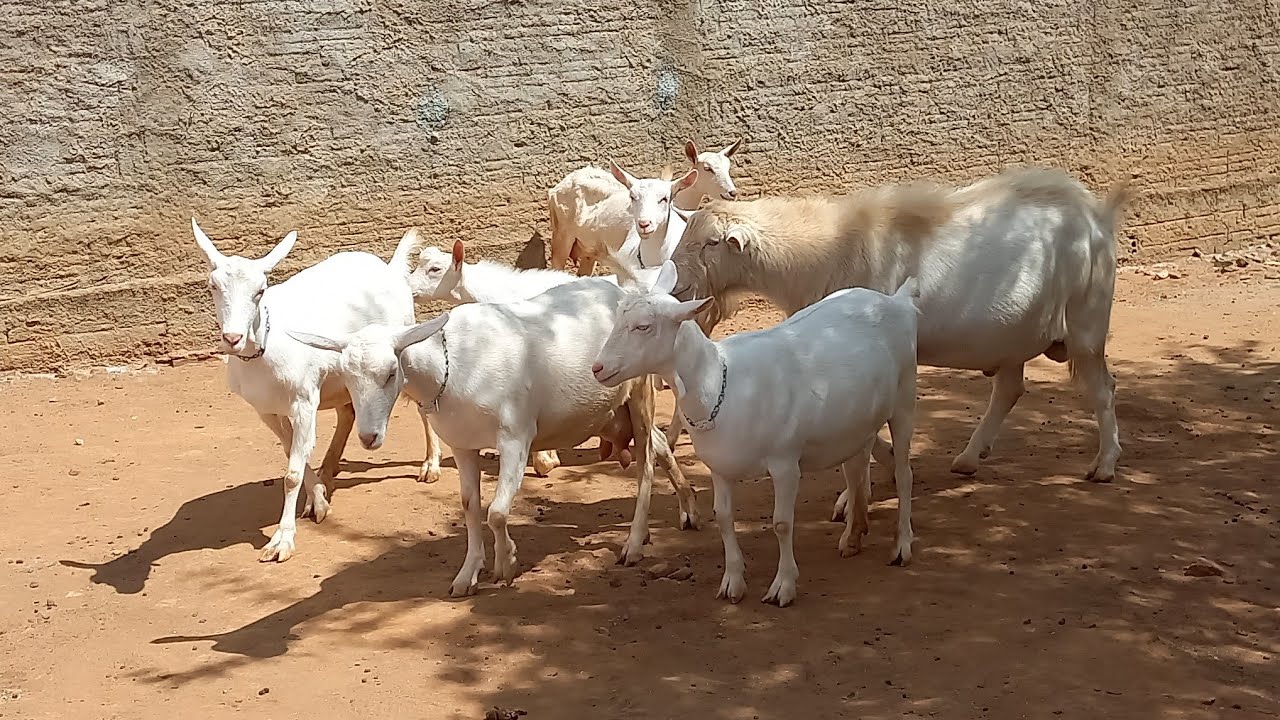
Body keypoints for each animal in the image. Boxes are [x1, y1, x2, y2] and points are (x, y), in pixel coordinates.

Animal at [191, 220, 437, 562]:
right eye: (212, 286)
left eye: (260, 290)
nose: (232, 338)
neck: (265, 350)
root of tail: (388, 269)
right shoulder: (266, 410)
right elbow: (291, 451)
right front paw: (318, 498)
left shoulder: (303, 401)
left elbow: (292, 473)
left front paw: (281, 541)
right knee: (347, 412)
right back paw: (329, 470)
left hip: (399, 345)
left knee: (419, 401)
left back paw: (430, 464)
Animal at [289, 277, 702, 597]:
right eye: (346, 377)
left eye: (391, 372)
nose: (369, 436)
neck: (452, 364)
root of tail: (619, 290)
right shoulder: (462, 444)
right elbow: (471, 507)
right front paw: (467, 574)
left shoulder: (516, 438)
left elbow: (498, 512)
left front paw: (506, 563)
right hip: (616, 412)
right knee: (659, 446)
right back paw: (688, 507)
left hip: (640, 392)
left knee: (646, 464)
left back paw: (634, 542)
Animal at [593, 260, 920, 607]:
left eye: (644, 326)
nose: (597, 368)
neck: (721, 382)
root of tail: (898, 301)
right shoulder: (719, 468)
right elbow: (724, 518)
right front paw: (732, 583)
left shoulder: (785, 462)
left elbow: (782, 523)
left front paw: (783, 586)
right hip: (858, 420)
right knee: (857, 469)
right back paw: (853, 536)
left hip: (904, 399)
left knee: (904, 473)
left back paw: (901, 546)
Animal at [668, 167, 1132, 504]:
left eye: (711, 243)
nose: (677, 287)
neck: (827, 248)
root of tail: (1098, 214)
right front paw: (881, 474)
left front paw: (862, 491)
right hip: (1014, 334)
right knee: (1010, 389)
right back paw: (969, 458)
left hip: (1086, 322)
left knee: (1102, 388)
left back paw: (1105, 464)